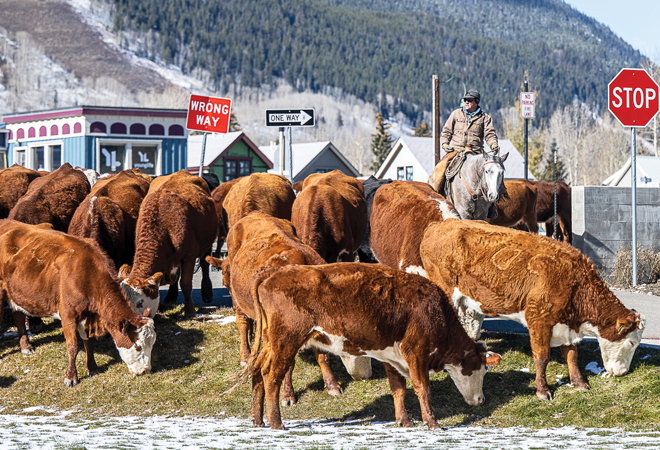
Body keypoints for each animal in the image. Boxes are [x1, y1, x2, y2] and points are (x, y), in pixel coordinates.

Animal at [0, 220, 156, 386]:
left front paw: (92, 368)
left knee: (18, 316)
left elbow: (89, 342)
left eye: (152, 343)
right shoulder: (68, 315)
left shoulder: (89, 315)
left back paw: (26, 346)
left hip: (15, 291)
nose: (146, 371)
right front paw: (71, 377)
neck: (88, 275)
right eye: (138, 346)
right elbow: (73, 346)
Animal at [119, 170, 217, 319]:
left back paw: (207, 293)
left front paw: (190, 311)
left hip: (207, 245)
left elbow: (186, 284)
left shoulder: (189, 256)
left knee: (205, 264)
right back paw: (171, 296)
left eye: (140, 302)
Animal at [206, 211, 368, 405]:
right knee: (243, 322)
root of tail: (255, 213)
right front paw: (287, 394)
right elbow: (288, 364)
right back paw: (245, 356)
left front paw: (332, 385)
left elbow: (323, 355)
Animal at [239, 262, 502, 430]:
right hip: (286, 341)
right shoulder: (416, 352)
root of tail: (273, 271)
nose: (481, 400)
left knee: (257, 371)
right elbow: (422, 388)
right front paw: (433, 423)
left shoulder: (392, 356)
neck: (435, 312)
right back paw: (276, 423)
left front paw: (404, 421)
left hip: (271, 342)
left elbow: (398, 389)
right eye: (481, 369)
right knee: (271, 375)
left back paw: (257, 419)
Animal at [419, 219, 645, 400]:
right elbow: (542, 357)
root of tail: (438, 225)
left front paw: (580, 383)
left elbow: (572, 355)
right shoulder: (538, 319)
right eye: (632, 342)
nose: (624, 373)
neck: (574, 281)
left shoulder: (567, 326)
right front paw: (542, 390)